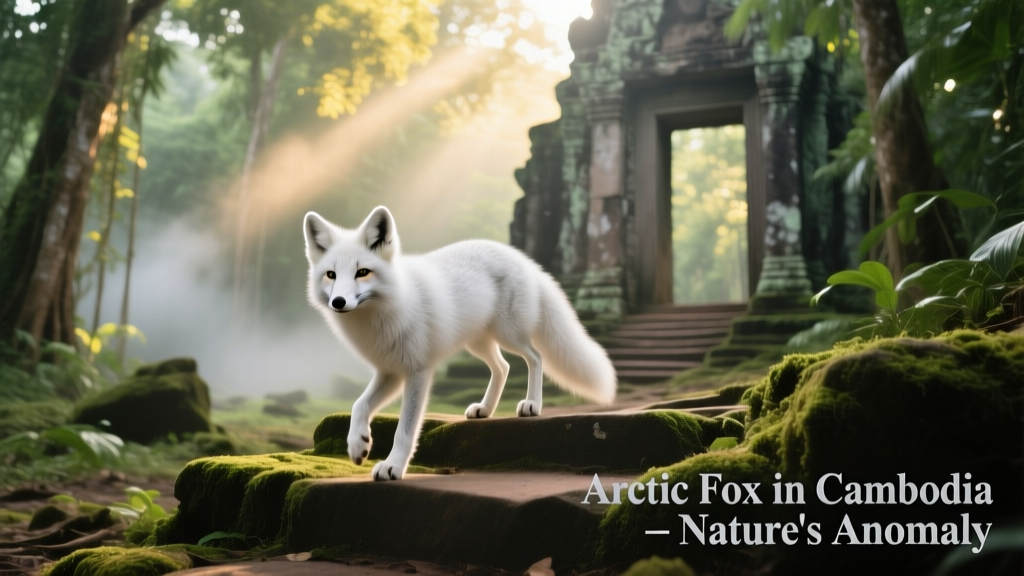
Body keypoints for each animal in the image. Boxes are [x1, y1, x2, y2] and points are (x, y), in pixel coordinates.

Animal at [303, 206, 617, 481]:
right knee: (502, 367)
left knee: (535, 357)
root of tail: (524, 259)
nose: (338, 302)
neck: (387, 309)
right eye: (331, 275)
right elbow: (359, 404)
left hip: (510, 334)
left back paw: (532, 405)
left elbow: (404, 429)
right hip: (478, 344)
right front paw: (358, 444)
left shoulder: (417, 372)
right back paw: (485, 409)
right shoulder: (391, 371)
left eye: (362, 272)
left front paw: (393, 467)